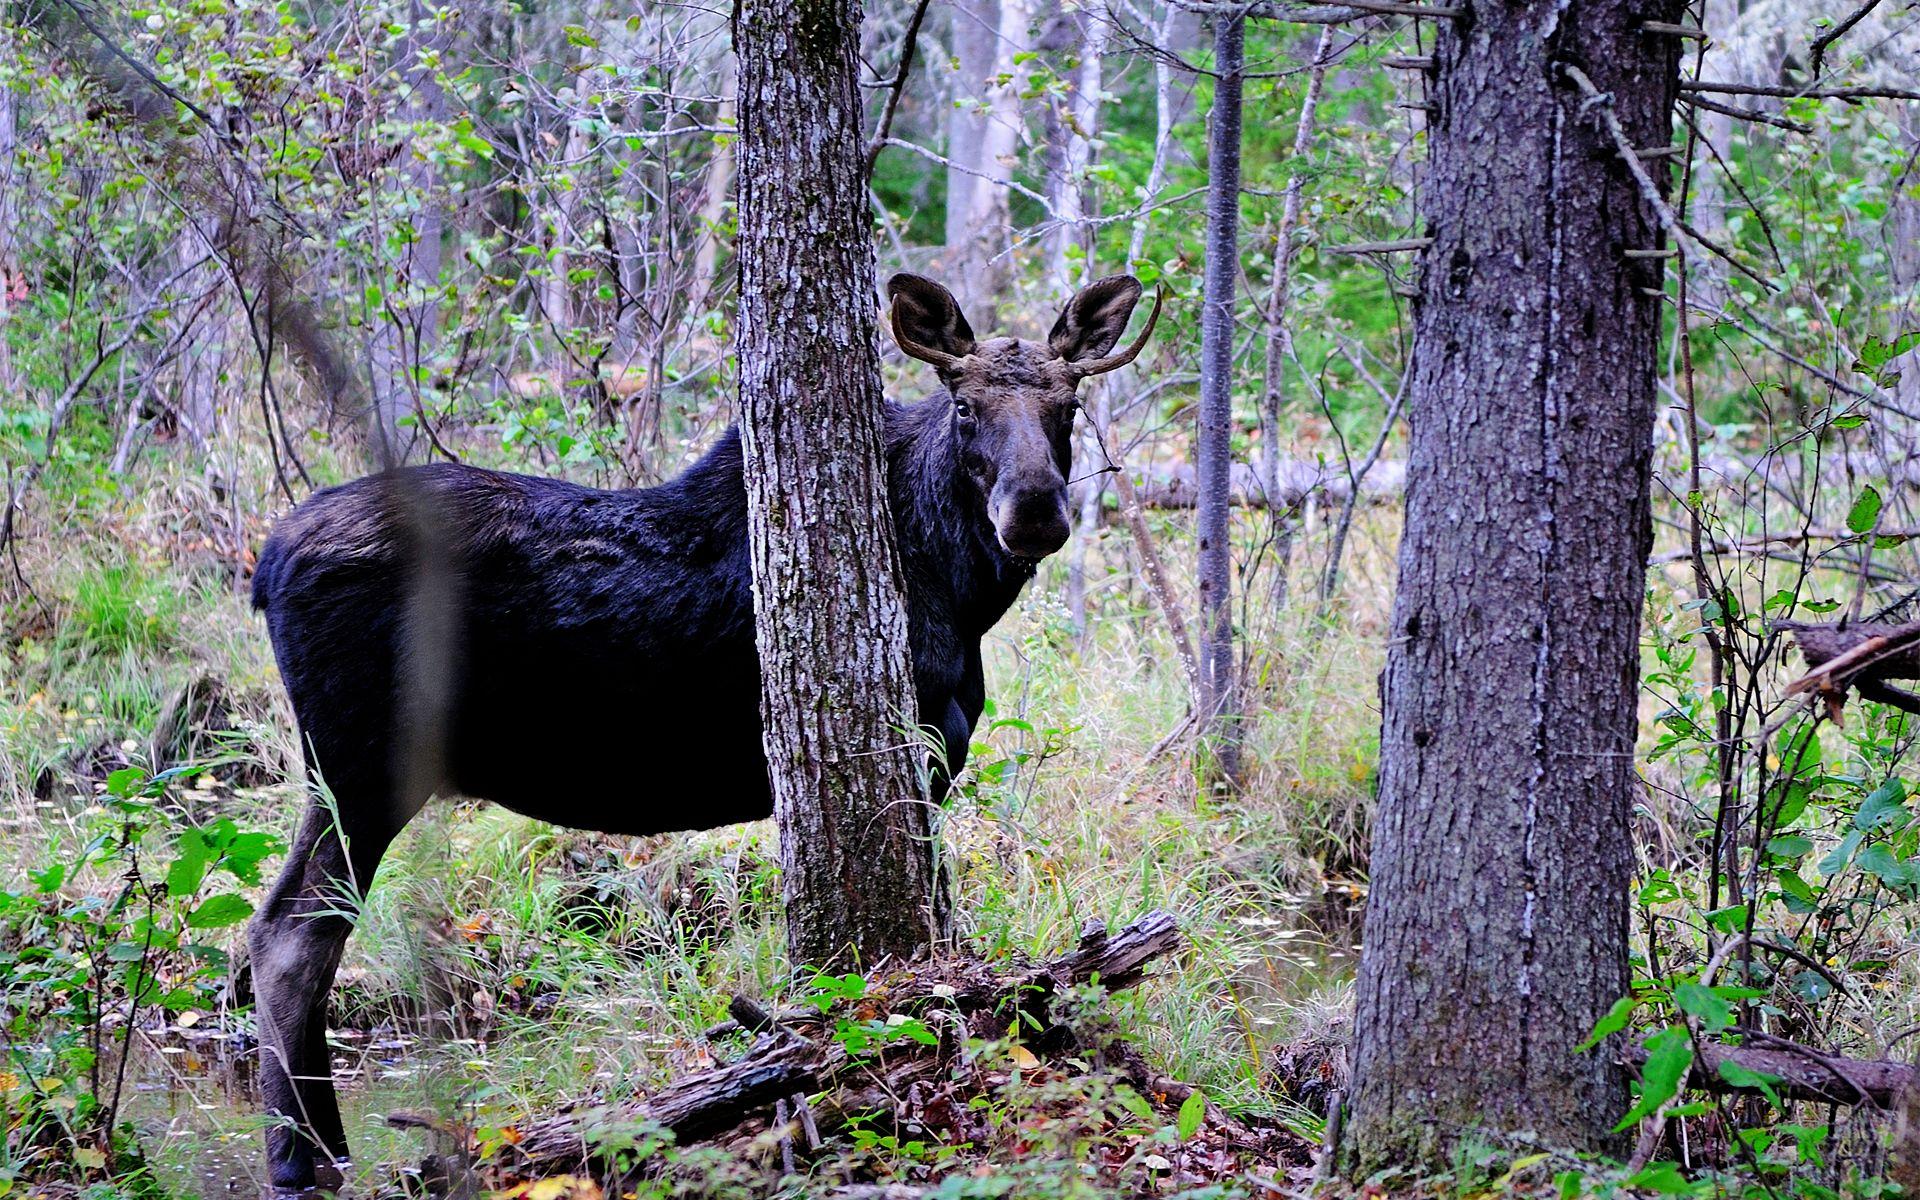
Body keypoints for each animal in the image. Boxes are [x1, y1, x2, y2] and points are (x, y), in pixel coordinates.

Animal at [244, 273, 1159, 1188]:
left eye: (1068, 404)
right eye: (965, 406)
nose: (1034, 510)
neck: (961, 587)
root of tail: (266, 562)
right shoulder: (922, 746)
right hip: (364, 768)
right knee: (291, 937)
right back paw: (301, 1158)